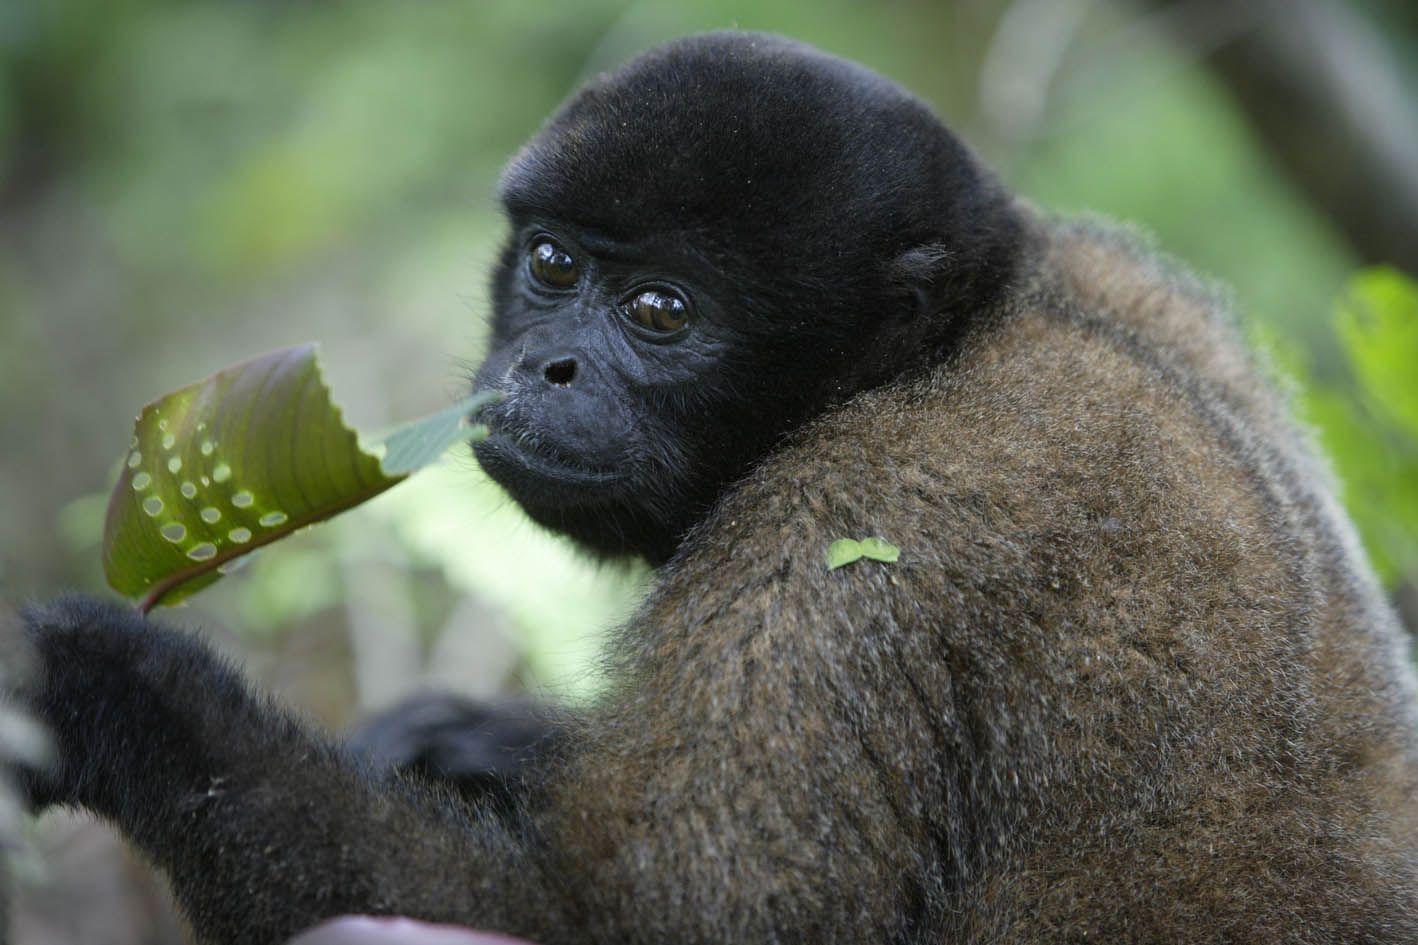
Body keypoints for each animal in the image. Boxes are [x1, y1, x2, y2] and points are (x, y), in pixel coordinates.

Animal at [14, 29, 1418, 945]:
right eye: (551, 264)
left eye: (658, 311)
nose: (546, 365)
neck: (955, 335)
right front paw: (471, 738)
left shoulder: (857, 541)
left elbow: (658, 920)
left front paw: (106, 694)